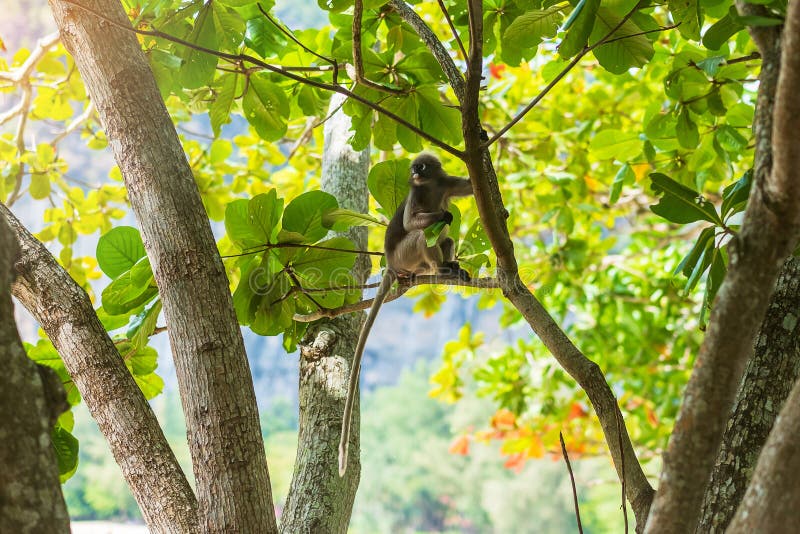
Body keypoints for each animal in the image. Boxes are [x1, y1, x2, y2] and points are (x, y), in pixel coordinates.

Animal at [338, 153, 473, 476]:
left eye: (421, 167)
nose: (414, 172)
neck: (430, 185)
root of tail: (390, 262)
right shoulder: (414, 193)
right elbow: (412, 222)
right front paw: (442, 216)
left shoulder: (446, 182)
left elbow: (470, 188)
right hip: (406, 255)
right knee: (423, 234)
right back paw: (441, 264)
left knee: (445, 241)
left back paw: (449, 267)